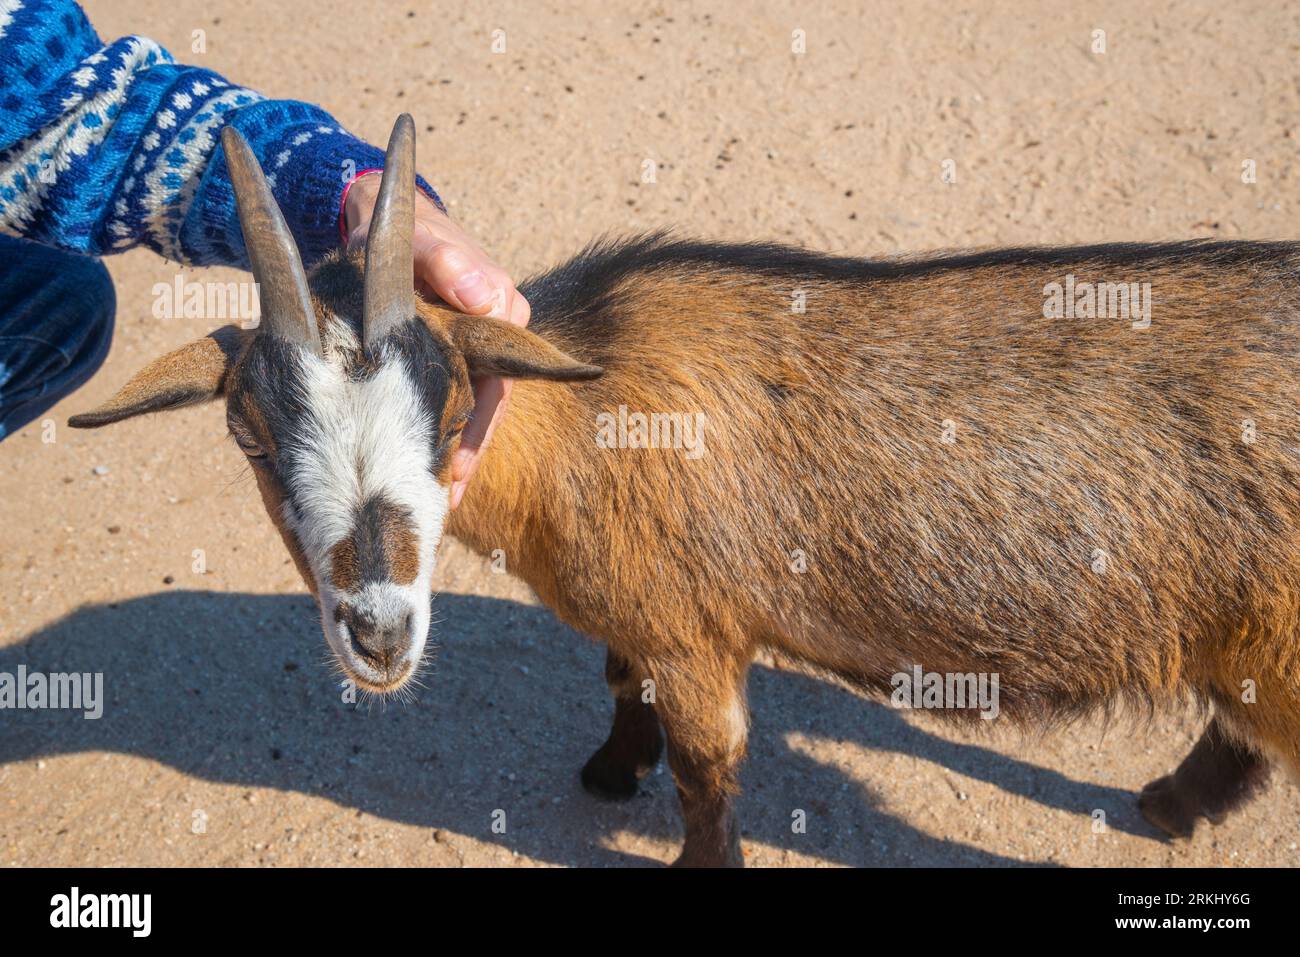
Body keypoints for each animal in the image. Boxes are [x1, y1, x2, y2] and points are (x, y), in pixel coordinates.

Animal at [69, 114, 1299, 866]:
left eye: (453, 408)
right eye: (248, 435)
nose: (378, 632)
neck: (586, 412)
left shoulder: (699, 630)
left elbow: (709, 768)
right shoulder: (645, 612)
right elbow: (623, 681)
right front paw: (613, 770)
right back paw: (1167, 807)